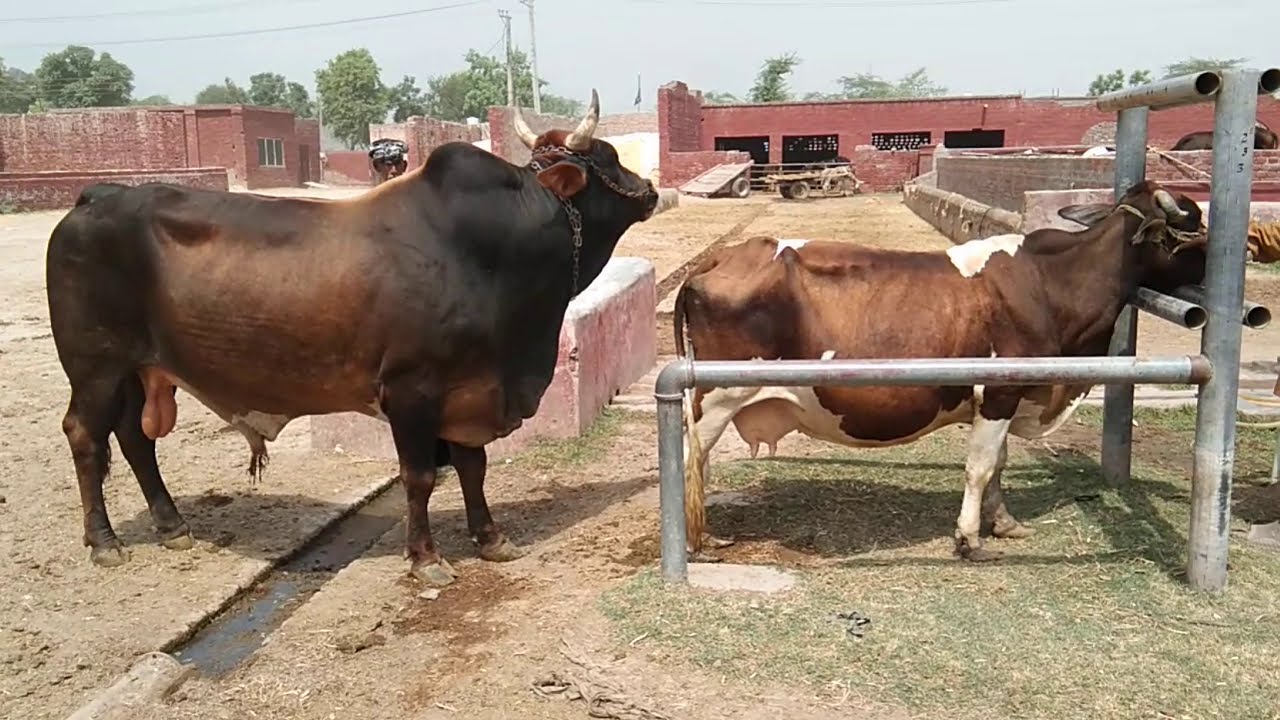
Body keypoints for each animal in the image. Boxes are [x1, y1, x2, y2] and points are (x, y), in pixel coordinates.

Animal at [44, 90, 660, 588]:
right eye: (608, 158)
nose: (651, 188)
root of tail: (96, 195)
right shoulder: (411, 391)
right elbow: (419, 477)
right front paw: (425, 558)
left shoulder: (470, 388)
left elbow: (473, 466)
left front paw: (490, 539)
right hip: (95, 367)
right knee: (86, 437)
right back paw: (104, 542)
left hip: (141, 369)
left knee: (134, 438)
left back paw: (172, 526)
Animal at [672, 180, 1208, 562]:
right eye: (1195, 223)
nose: (1214, 270)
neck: (1050, 284)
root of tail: (724, 255)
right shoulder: (998, 392)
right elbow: (979, 466)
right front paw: (969, 539)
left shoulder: (1005, 397)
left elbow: (999, 463)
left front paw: (1004, 522)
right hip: (715, 395)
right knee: (691, 459)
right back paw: (698, 539)